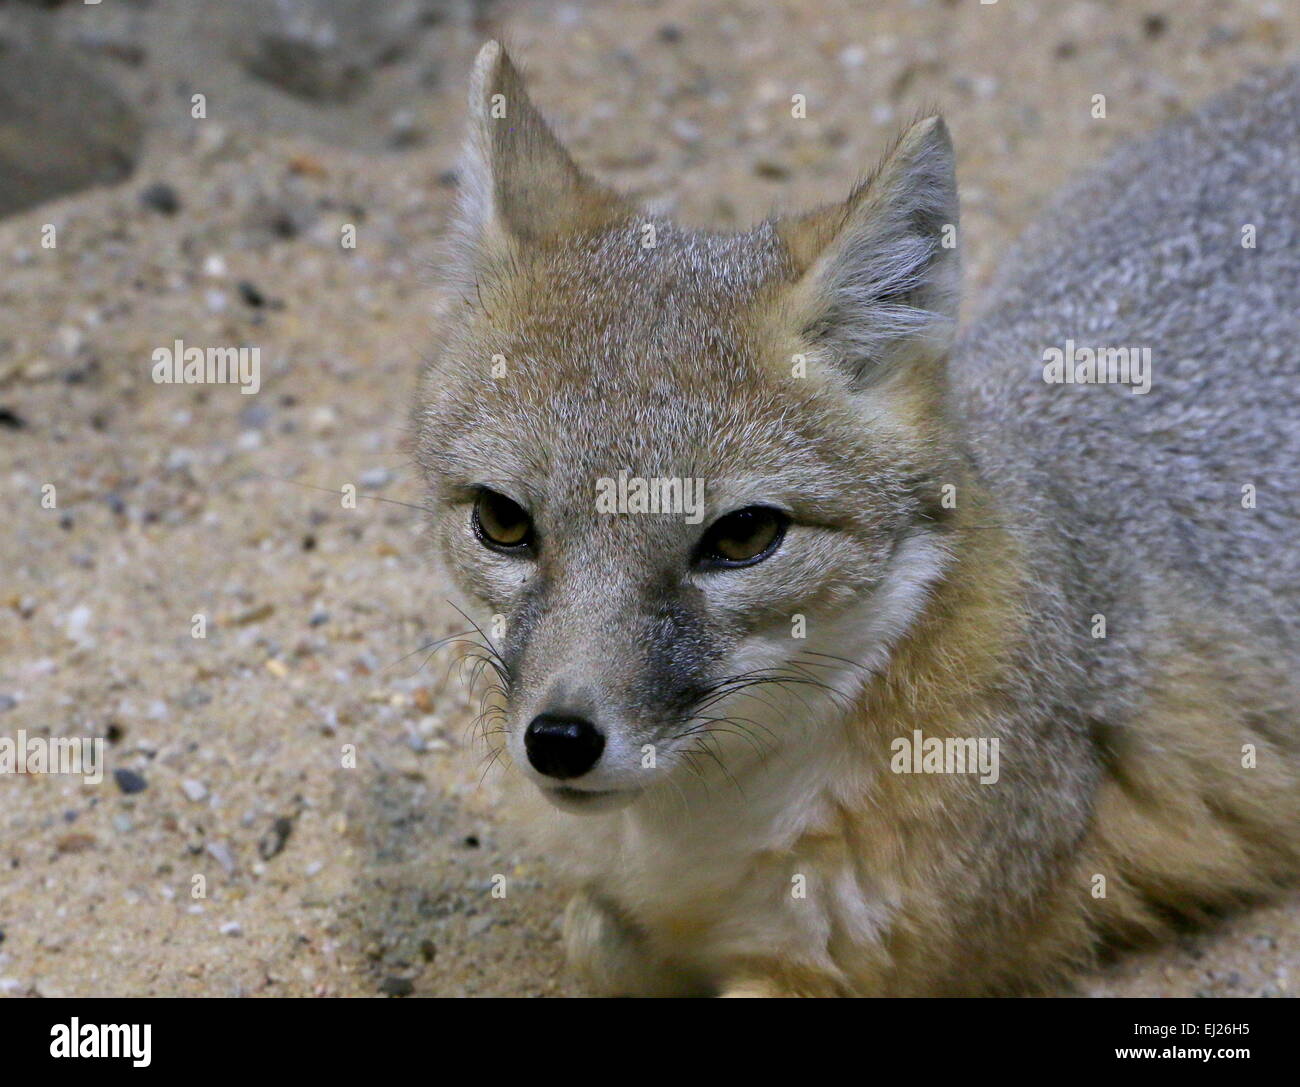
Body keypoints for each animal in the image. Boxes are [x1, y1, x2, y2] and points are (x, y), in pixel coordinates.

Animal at [414, 41, 1300, 996]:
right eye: (503, 521)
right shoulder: (621, 901)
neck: (692, 840)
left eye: (742, 538)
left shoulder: (851, 964)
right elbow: (596, 935)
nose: (560, 741)